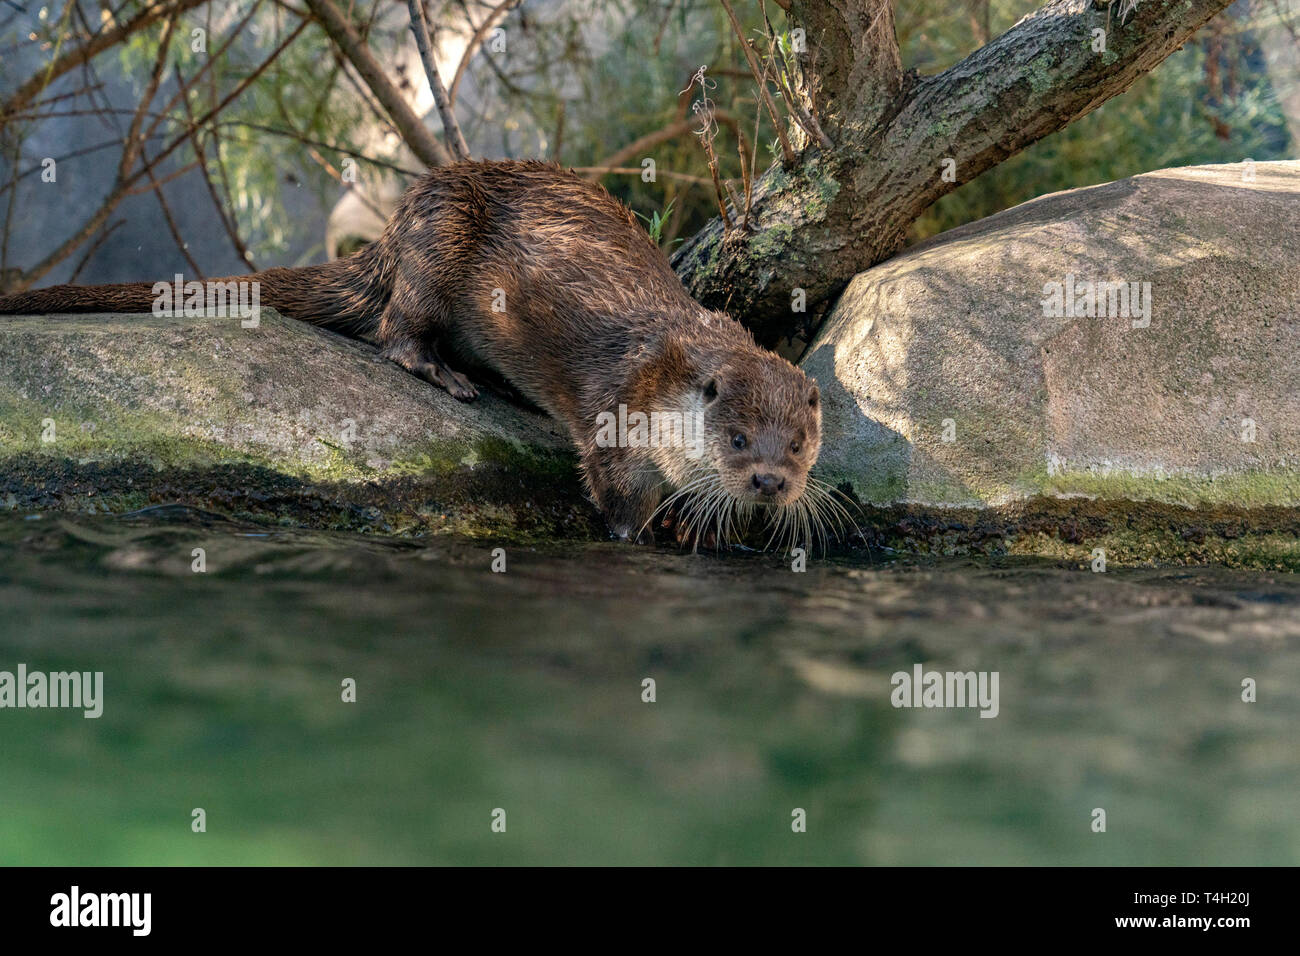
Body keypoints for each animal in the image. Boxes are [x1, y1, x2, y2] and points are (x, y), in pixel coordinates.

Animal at [0, 159, 838, 546]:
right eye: (737, 438)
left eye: (799, 443)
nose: (769, 482)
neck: (668, 373)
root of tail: (398, 220)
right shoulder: (617, 413)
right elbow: (615, 496)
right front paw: (650, 533)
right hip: (440, 244)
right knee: (396, 329)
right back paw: (448, 375)